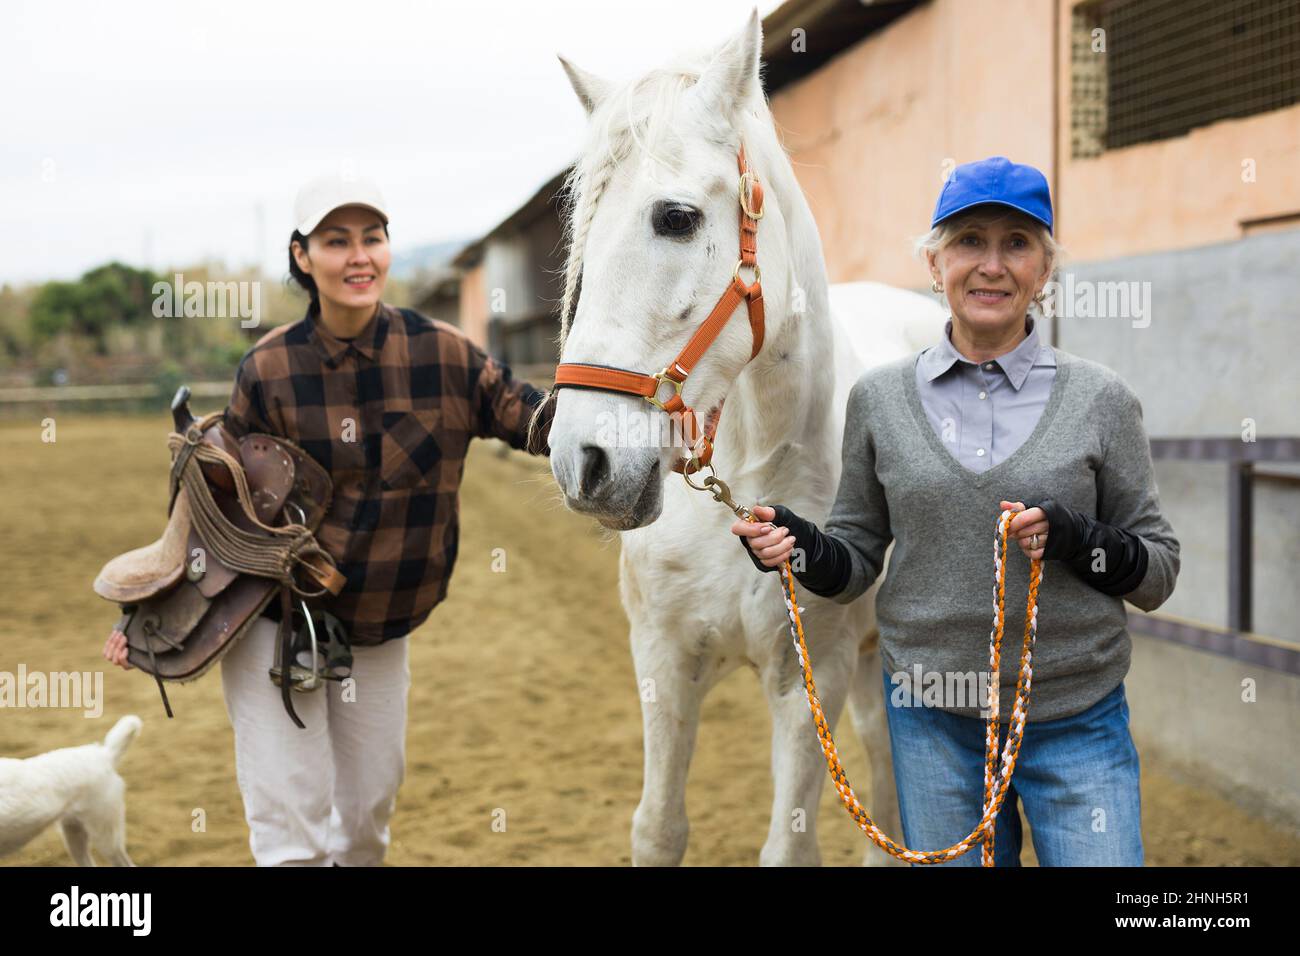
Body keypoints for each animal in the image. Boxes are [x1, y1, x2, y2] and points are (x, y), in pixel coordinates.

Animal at [542, 10, 946, 865]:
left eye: (677, 217)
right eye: (584, 230)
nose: (584, 462)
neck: (754, 478)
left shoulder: (807, 679)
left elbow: (790, 845)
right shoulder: (664, 660)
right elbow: (658, 826)